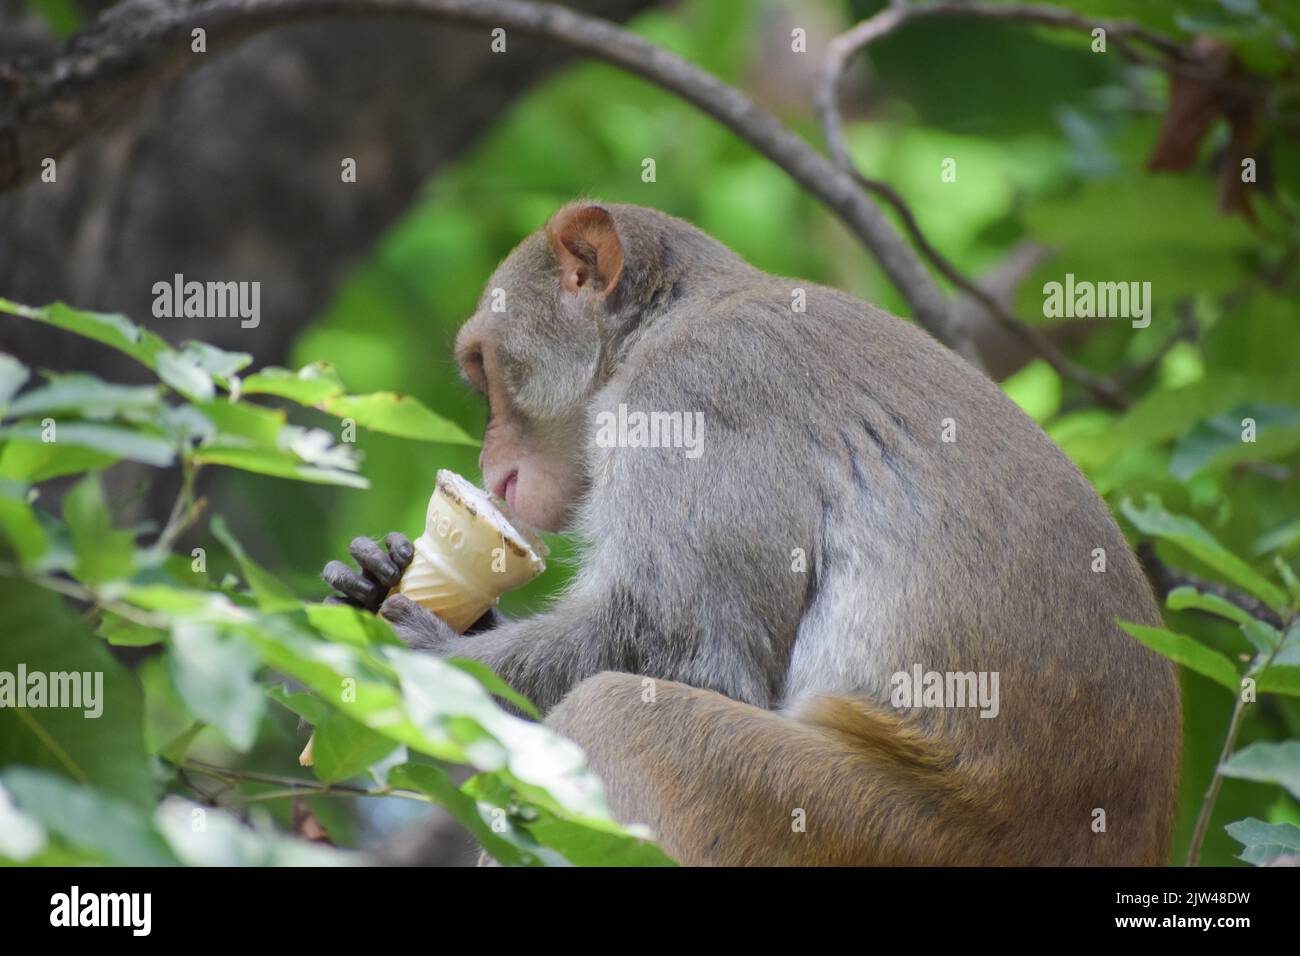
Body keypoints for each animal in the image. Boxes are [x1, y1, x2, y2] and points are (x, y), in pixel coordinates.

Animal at [323, 201, 1181, 866]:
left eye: (482, 369)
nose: (491, 465)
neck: (665, 323)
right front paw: (381, 577)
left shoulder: (694, 397)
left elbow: (694, 656)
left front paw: (430, 662)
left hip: (874, 828)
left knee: (622, 717)